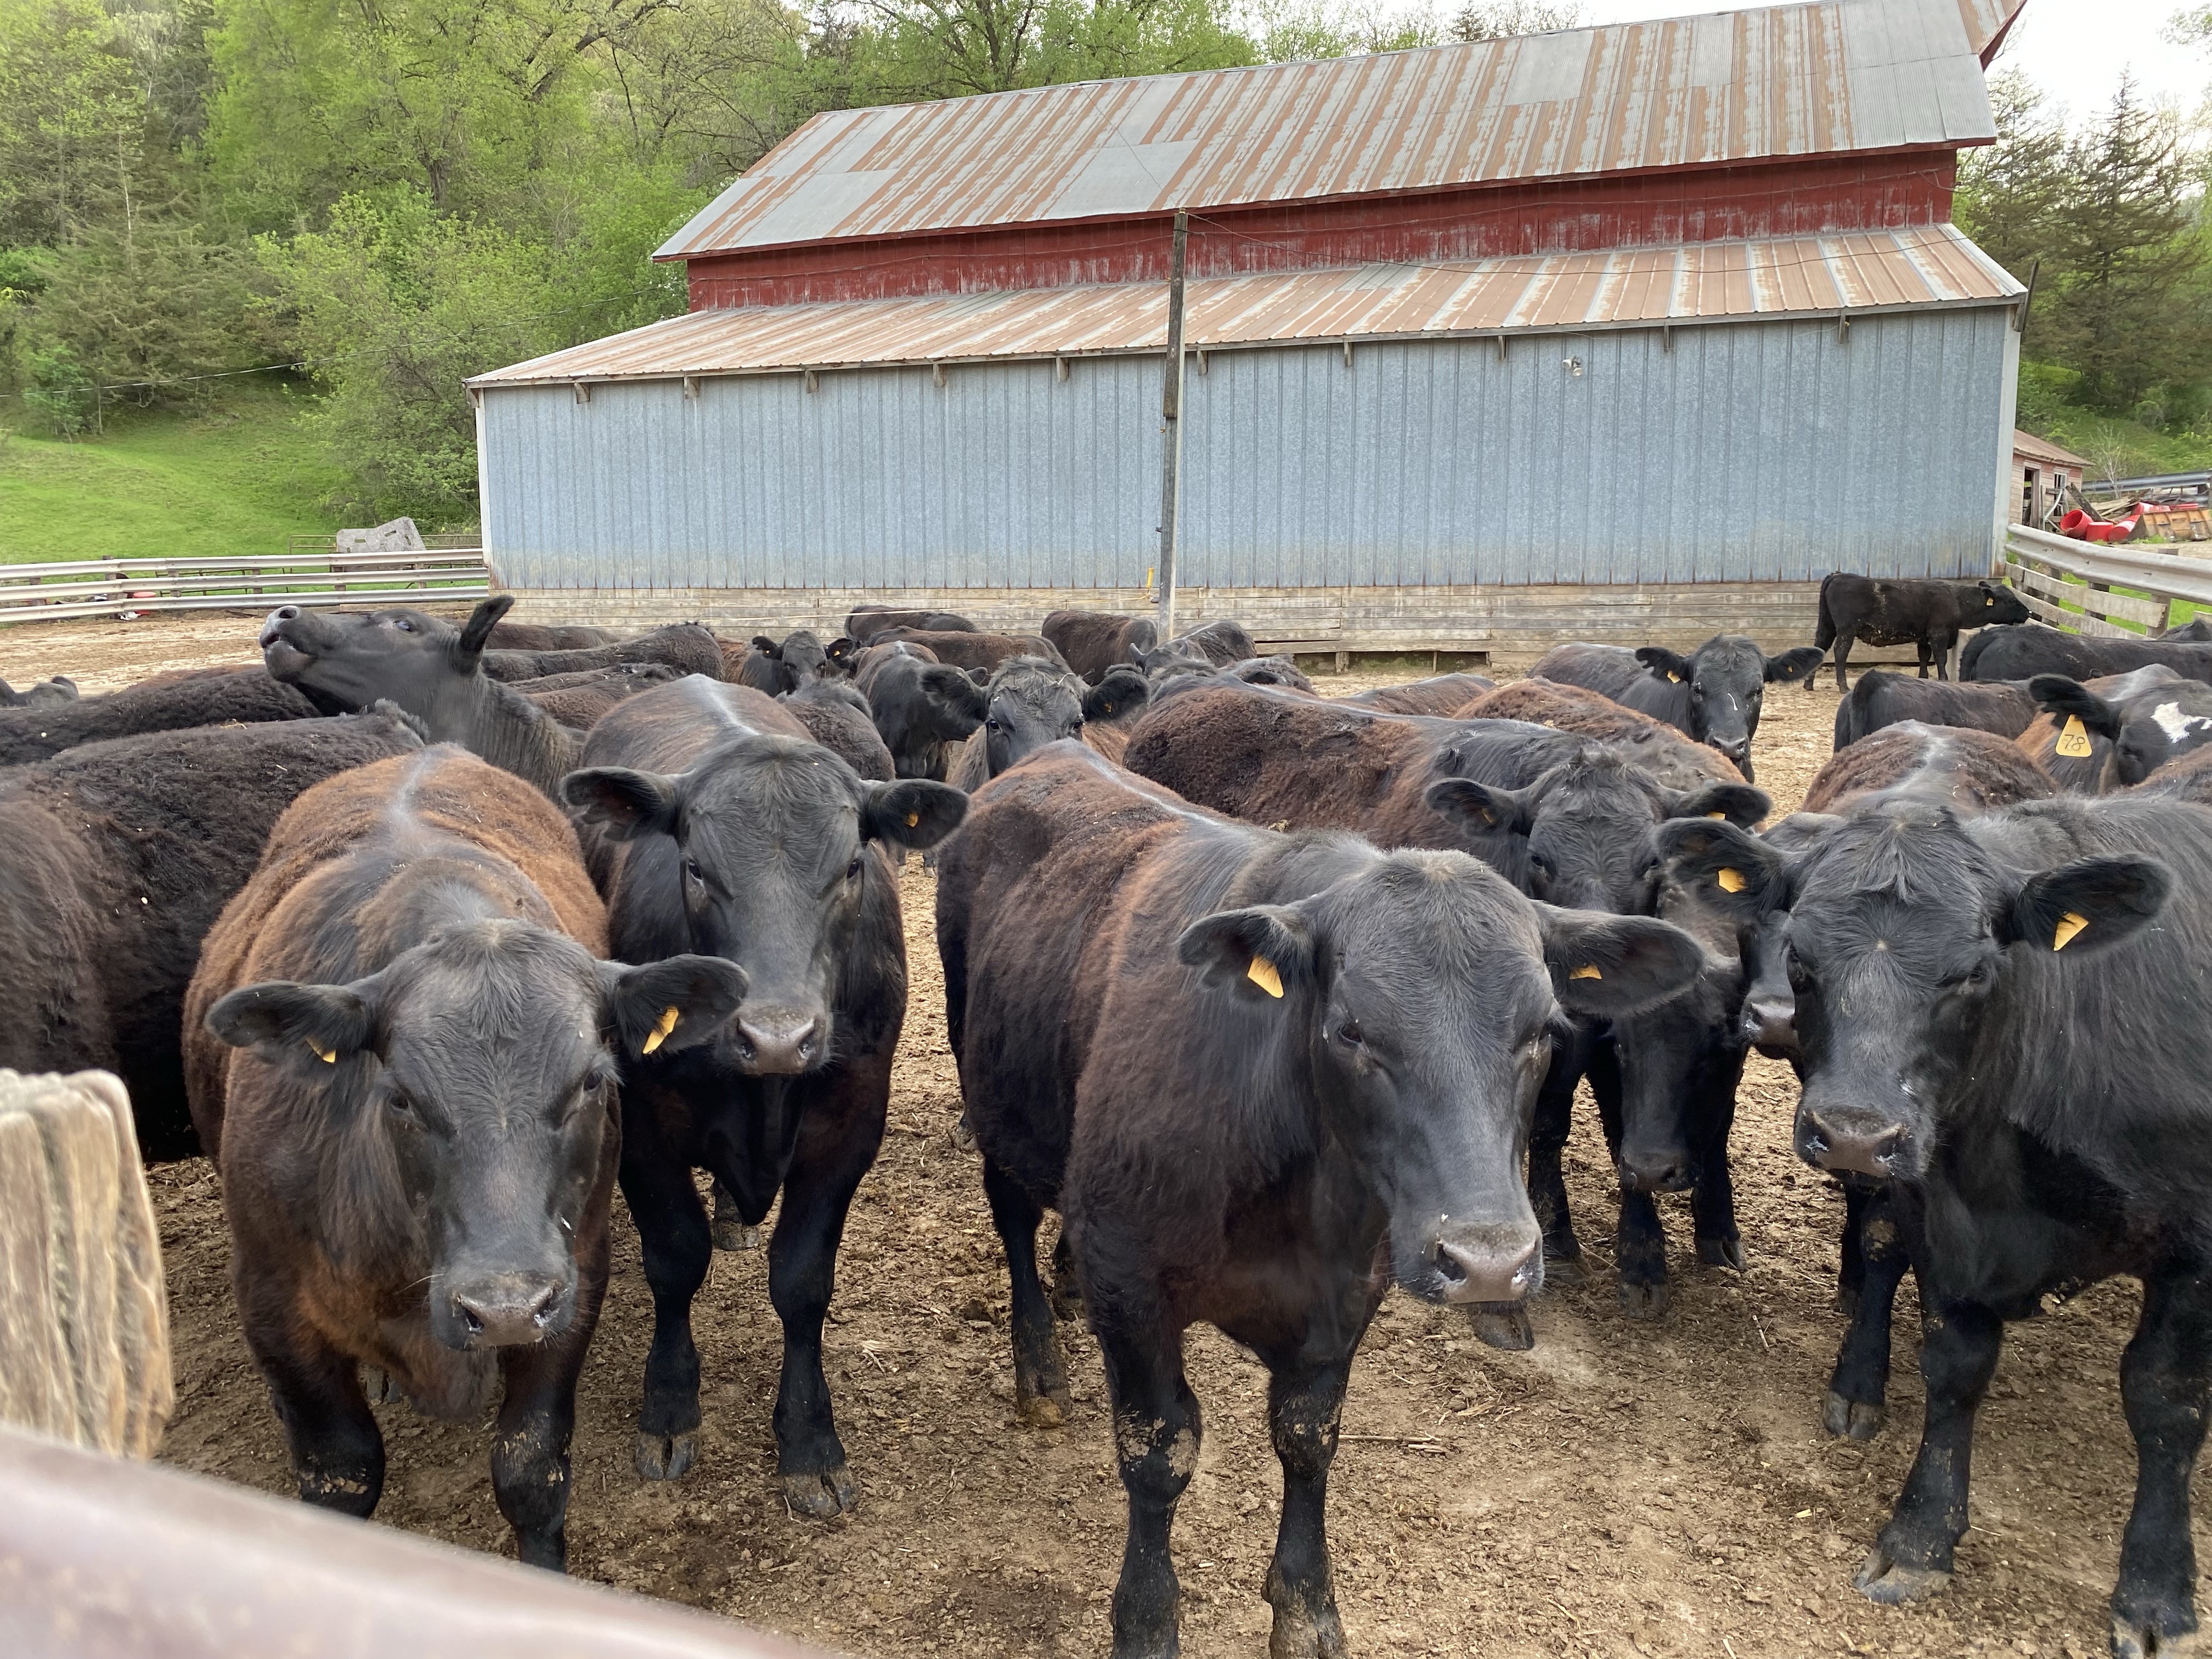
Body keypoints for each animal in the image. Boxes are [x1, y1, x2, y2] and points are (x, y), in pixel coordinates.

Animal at [185, 745, 745, 1571]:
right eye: (400, 1096)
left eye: (592, 1081)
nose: (503, 1306)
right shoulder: (272, 1305)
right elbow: (342, 1473)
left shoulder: (573, 1283)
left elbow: (531, 1467)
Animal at [559, 676, 968, 1510]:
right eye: (694, 869)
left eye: (852, 868)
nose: (778, 1037)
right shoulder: (641, 1124)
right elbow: (674, 1257)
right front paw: (670, 1408)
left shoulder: (850, 1126)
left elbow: (803, 1281)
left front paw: (810, 1440)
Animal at [937, 742, 1701, 1659]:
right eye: (1351, 1031)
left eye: (1546, 1031)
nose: (1489, 1263)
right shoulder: (1129, 1273)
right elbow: (1159, 1451)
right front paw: (1147, 1620)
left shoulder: (1347, 1290)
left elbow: (1308, 1439)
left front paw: (1305, 1611)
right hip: (993, 1096)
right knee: (1012, 1214)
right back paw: (1039, 1364)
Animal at [1659, 795, 2212, 1653]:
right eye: (1804, 959)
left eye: (1974, 973)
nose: (1855, 1133)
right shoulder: (1941, 1217)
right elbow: (1954, 1369)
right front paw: (1919, 1537)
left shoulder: (2194, 1248)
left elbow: (2166, 1400)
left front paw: (2156, 1594)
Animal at [1814, 574, 2031, 690]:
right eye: (2012, 601)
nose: (2028, 612)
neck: (1957, 599)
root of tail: (1838, 575)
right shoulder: (1938, 633)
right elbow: (1940, 658)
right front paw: (1943, 679)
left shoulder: (1924, 636)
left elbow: (1924, 657)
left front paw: (1923, 678)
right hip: (1847, 630)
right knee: (1840, 653)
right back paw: (1843, 686)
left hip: (1827, 626)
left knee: (1819, 647)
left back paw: (1809, 684)